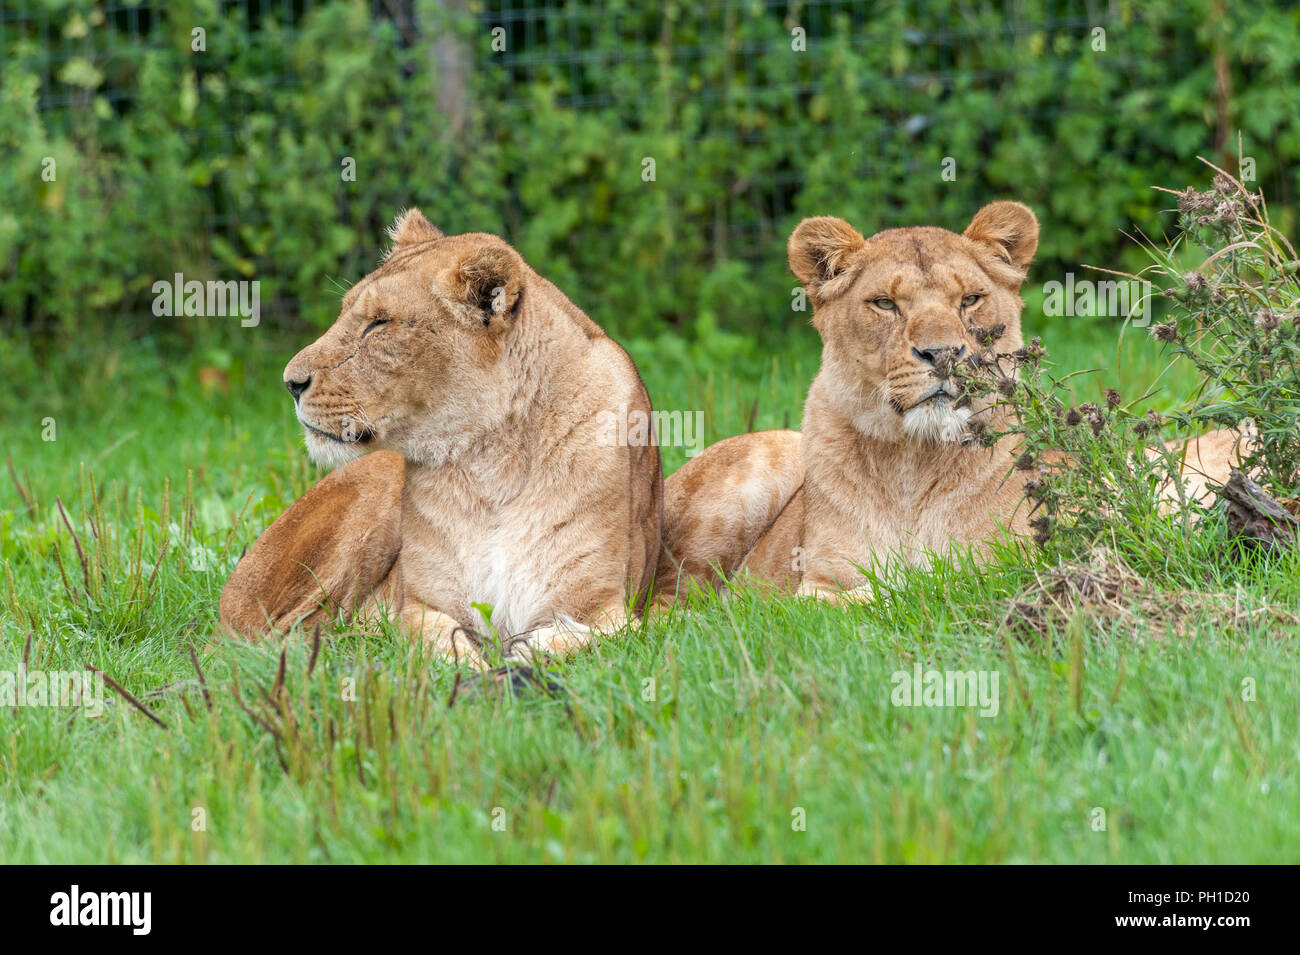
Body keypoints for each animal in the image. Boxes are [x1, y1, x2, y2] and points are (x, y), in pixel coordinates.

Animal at [217, 209, 662, 664]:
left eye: (378, 324)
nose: (290, 382)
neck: (493, 462)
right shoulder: (411, 608)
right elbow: (444, 646)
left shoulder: (616, 613)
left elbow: (582, 638)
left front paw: (522, 656)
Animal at [654, 202, 1249, 602]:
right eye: (885, 304)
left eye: (970, 299)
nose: (942, 354)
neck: (913, 463)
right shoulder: (819, 582)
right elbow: (867, 593)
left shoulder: (1009, 564)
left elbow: (926, 585)